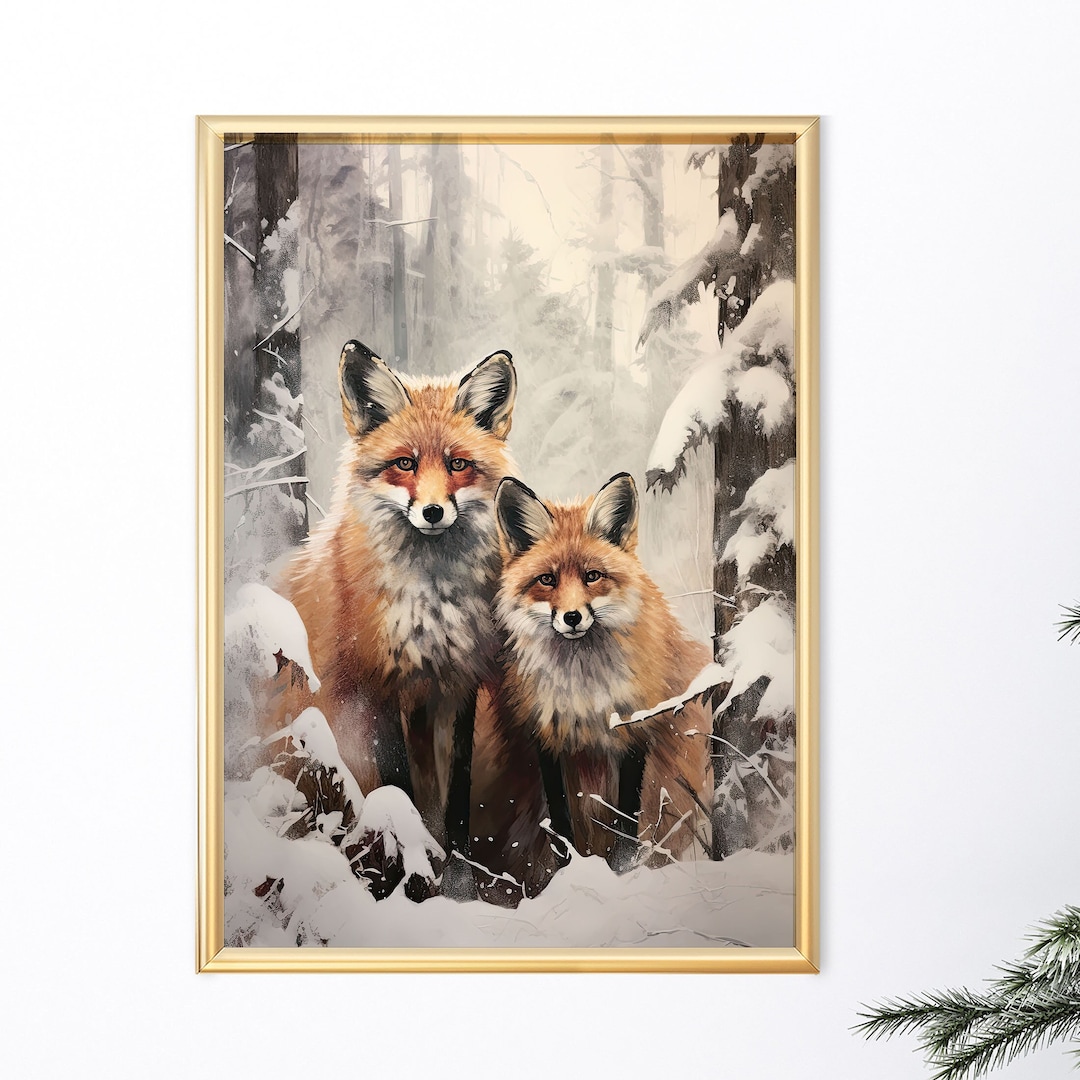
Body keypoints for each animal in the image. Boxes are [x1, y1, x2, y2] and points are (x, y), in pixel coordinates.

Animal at [277, 340, 517, 882]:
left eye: (457, 464)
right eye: (405, 464)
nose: (433, 512)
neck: (431, 602)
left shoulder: (458, 684)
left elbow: (456, 798)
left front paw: (459, 880)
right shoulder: (375, 685)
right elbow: (397, 788)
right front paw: (411, 868)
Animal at [490, 472, 714, 871]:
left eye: (592, 575)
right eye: (547, 580)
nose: (572, 617)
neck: (585, 696)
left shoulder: (635, 732)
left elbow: (626, 821)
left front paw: (621, 870)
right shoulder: (546, 740)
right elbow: (561, 825)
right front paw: (568, 873)